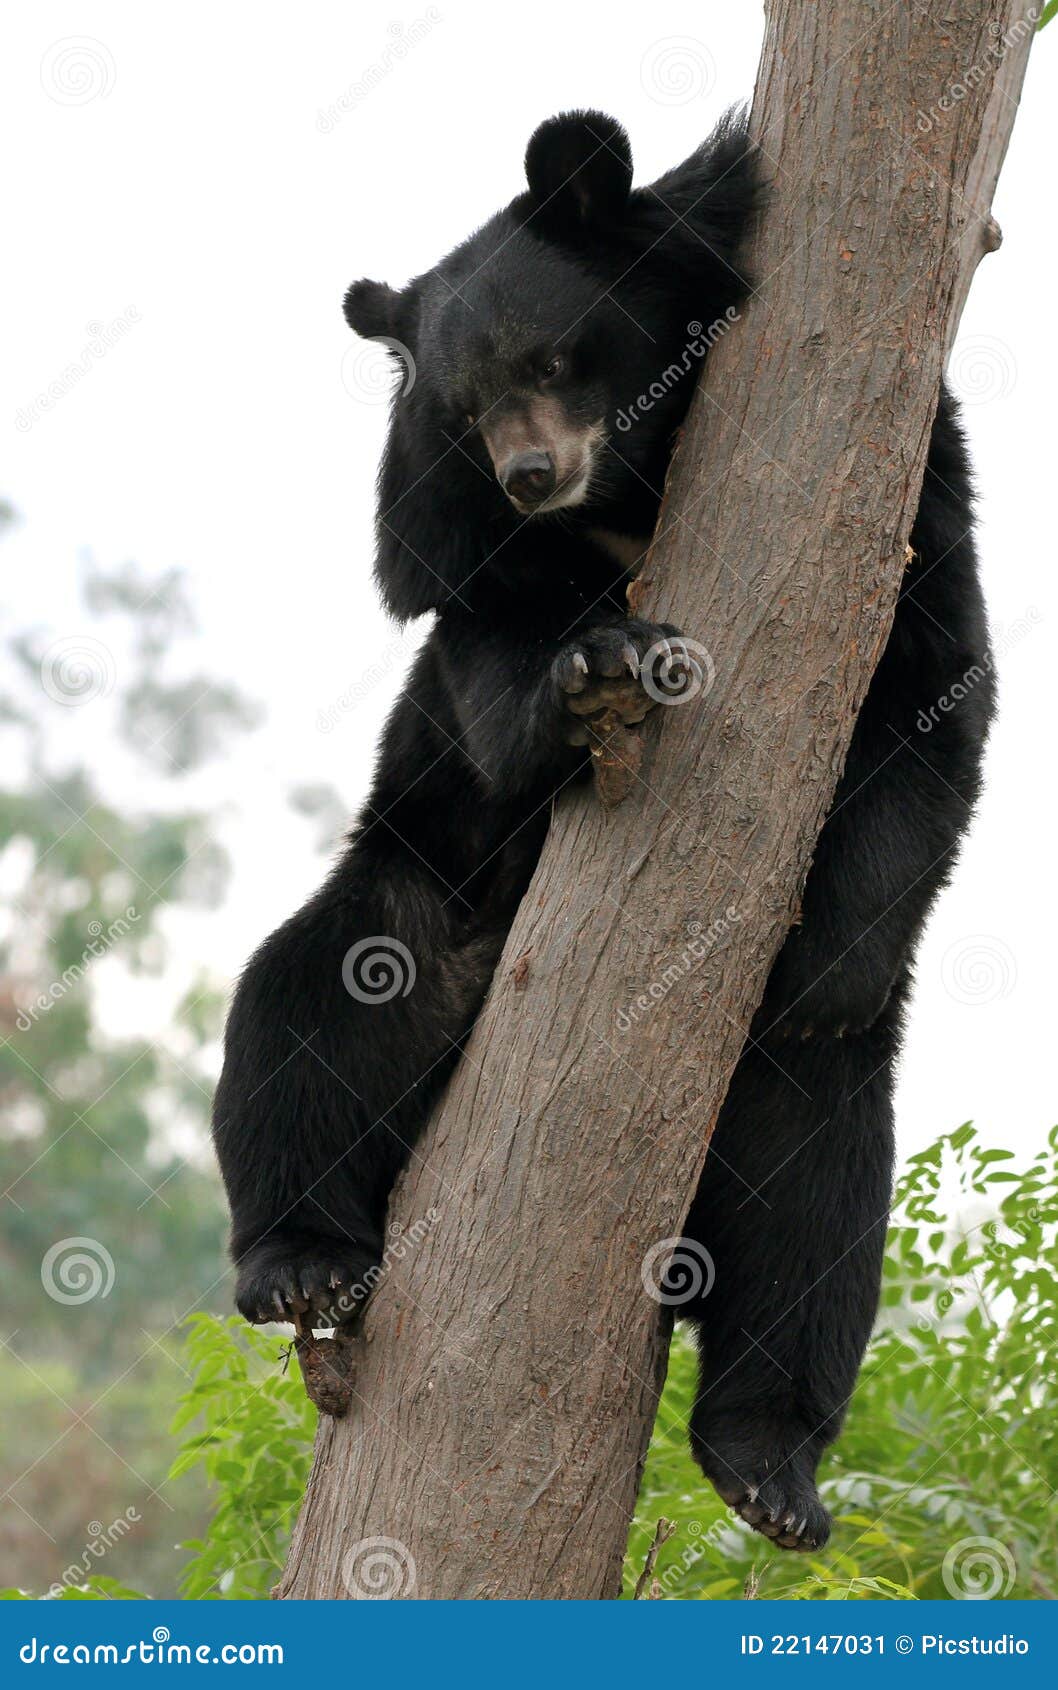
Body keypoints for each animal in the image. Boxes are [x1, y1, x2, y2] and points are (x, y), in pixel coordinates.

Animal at [212, 109, 993, 1553]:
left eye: (554, 357)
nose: (531, 471)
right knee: (305, 1013)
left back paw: (769, 1467)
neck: (624, 487)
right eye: (461, 408)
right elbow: (489, 641)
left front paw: (833, 964)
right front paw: (602, 672)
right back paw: (301, 1265)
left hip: (776, 1099)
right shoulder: (457, 553)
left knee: (815, 1195)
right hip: (421, 902)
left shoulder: (913, 490)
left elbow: (929, 703)